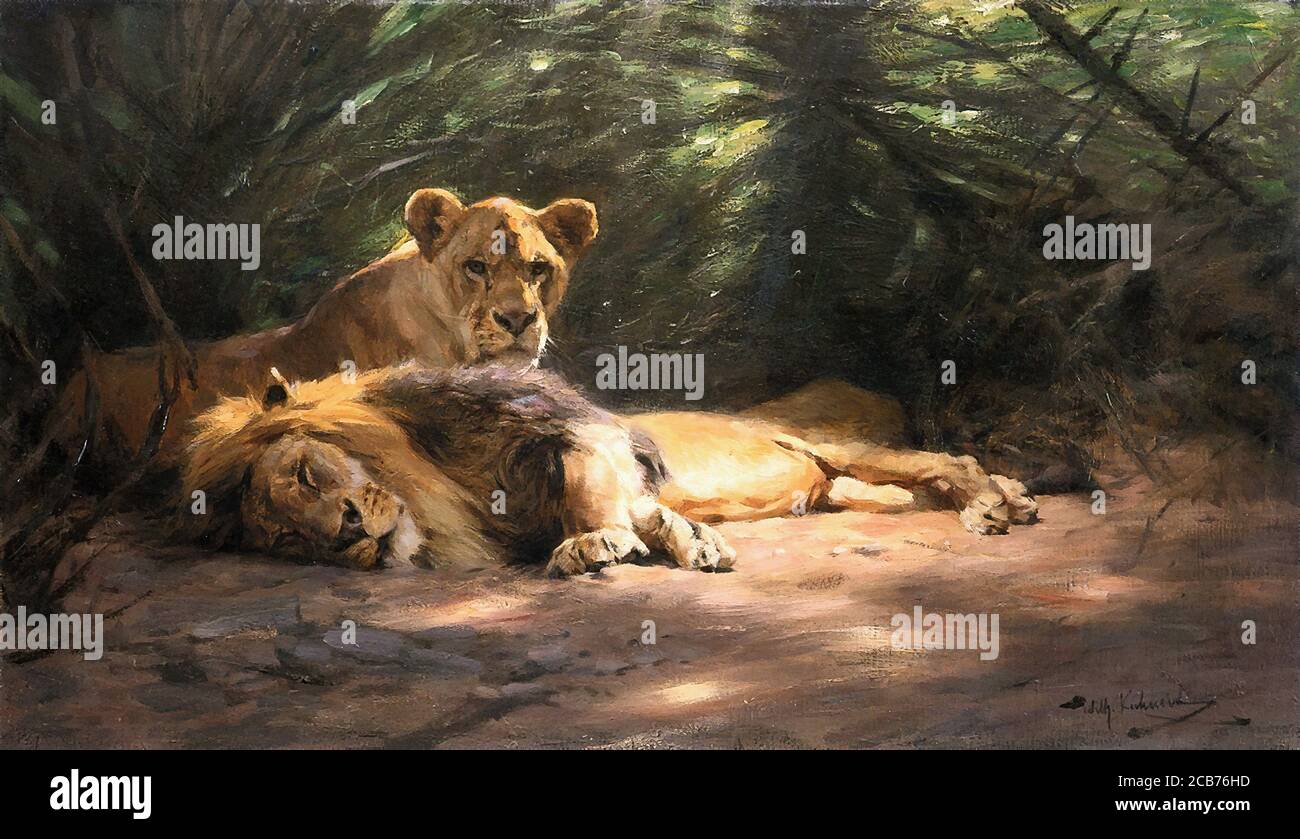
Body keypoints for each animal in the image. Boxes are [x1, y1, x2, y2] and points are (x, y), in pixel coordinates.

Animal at [180, 364, 736, 577]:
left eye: (304, 474)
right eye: (289, 538)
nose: (346, 531)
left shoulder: (546, 417)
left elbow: (590, 482)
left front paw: (596, 538)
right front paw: (688, 537)